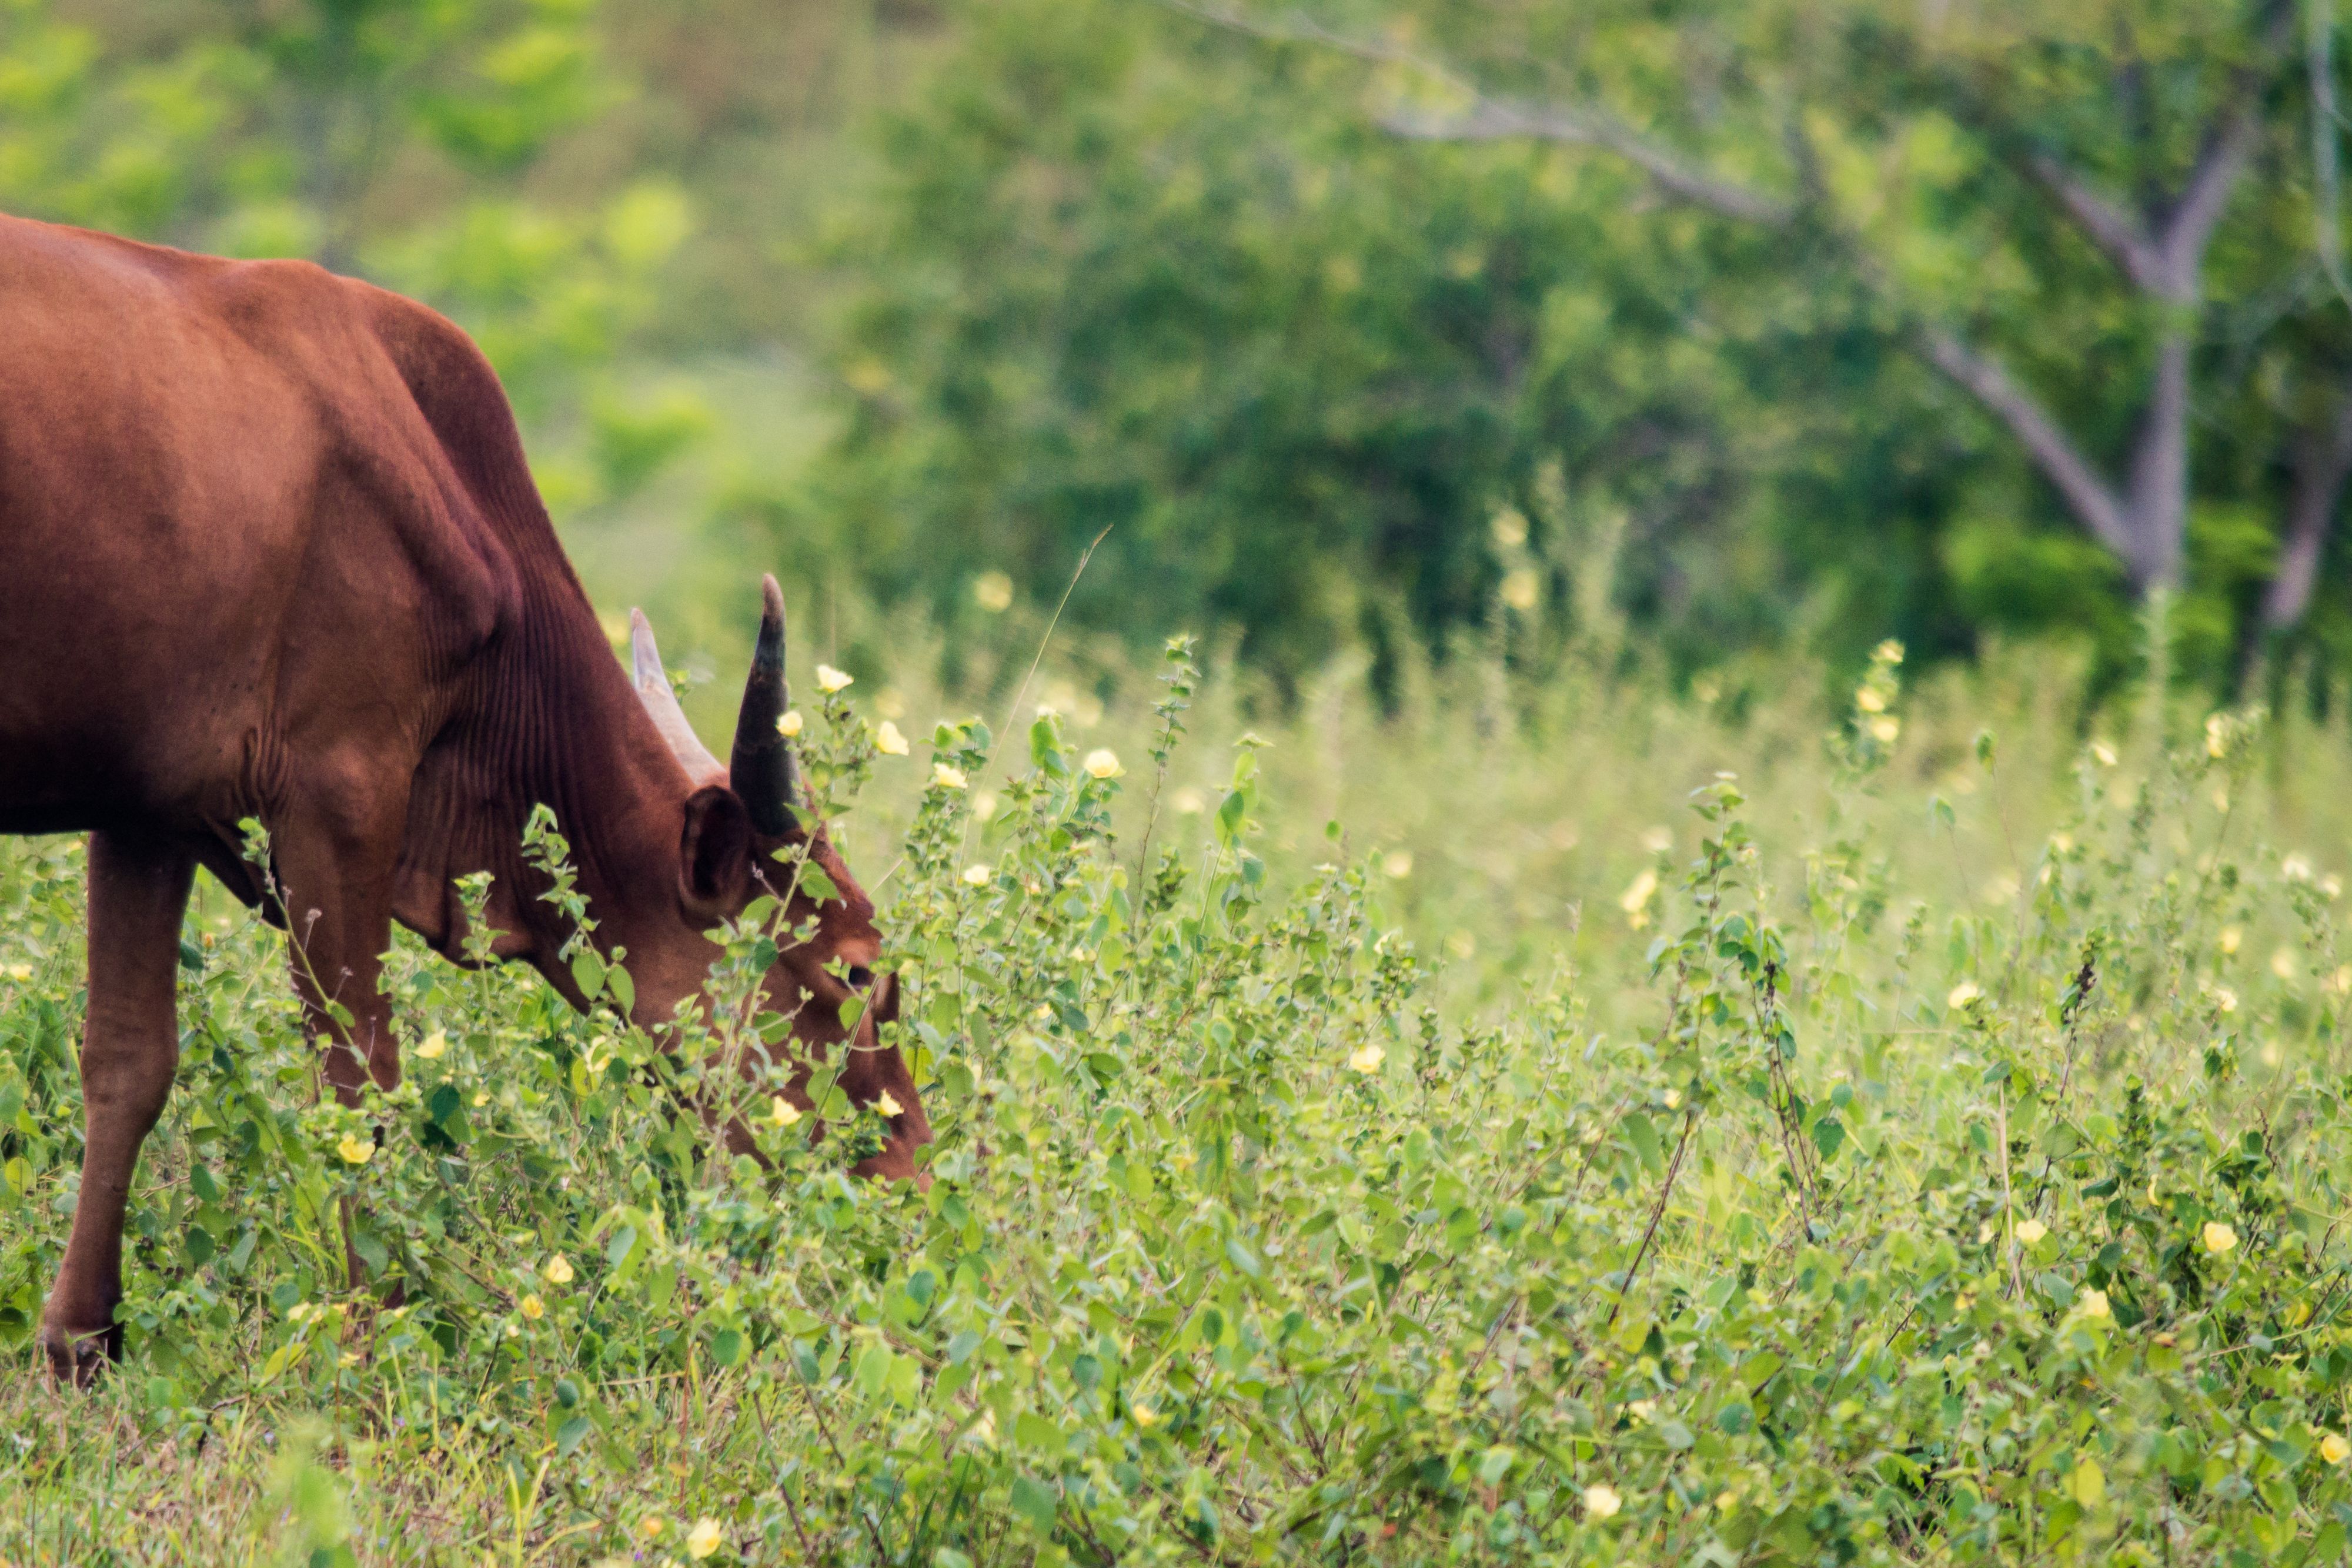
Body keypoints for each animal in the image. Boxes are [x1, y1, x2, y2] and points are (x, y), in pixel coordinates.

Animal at [0, 213, 931, 1385]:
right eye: (853, 970)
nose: (910, 1180)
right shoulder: (339, 792)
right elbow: (362, 1083)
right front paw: (375, 1340)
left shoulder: (148, 805)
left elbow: (128, 1060)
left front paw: (76, 1343)